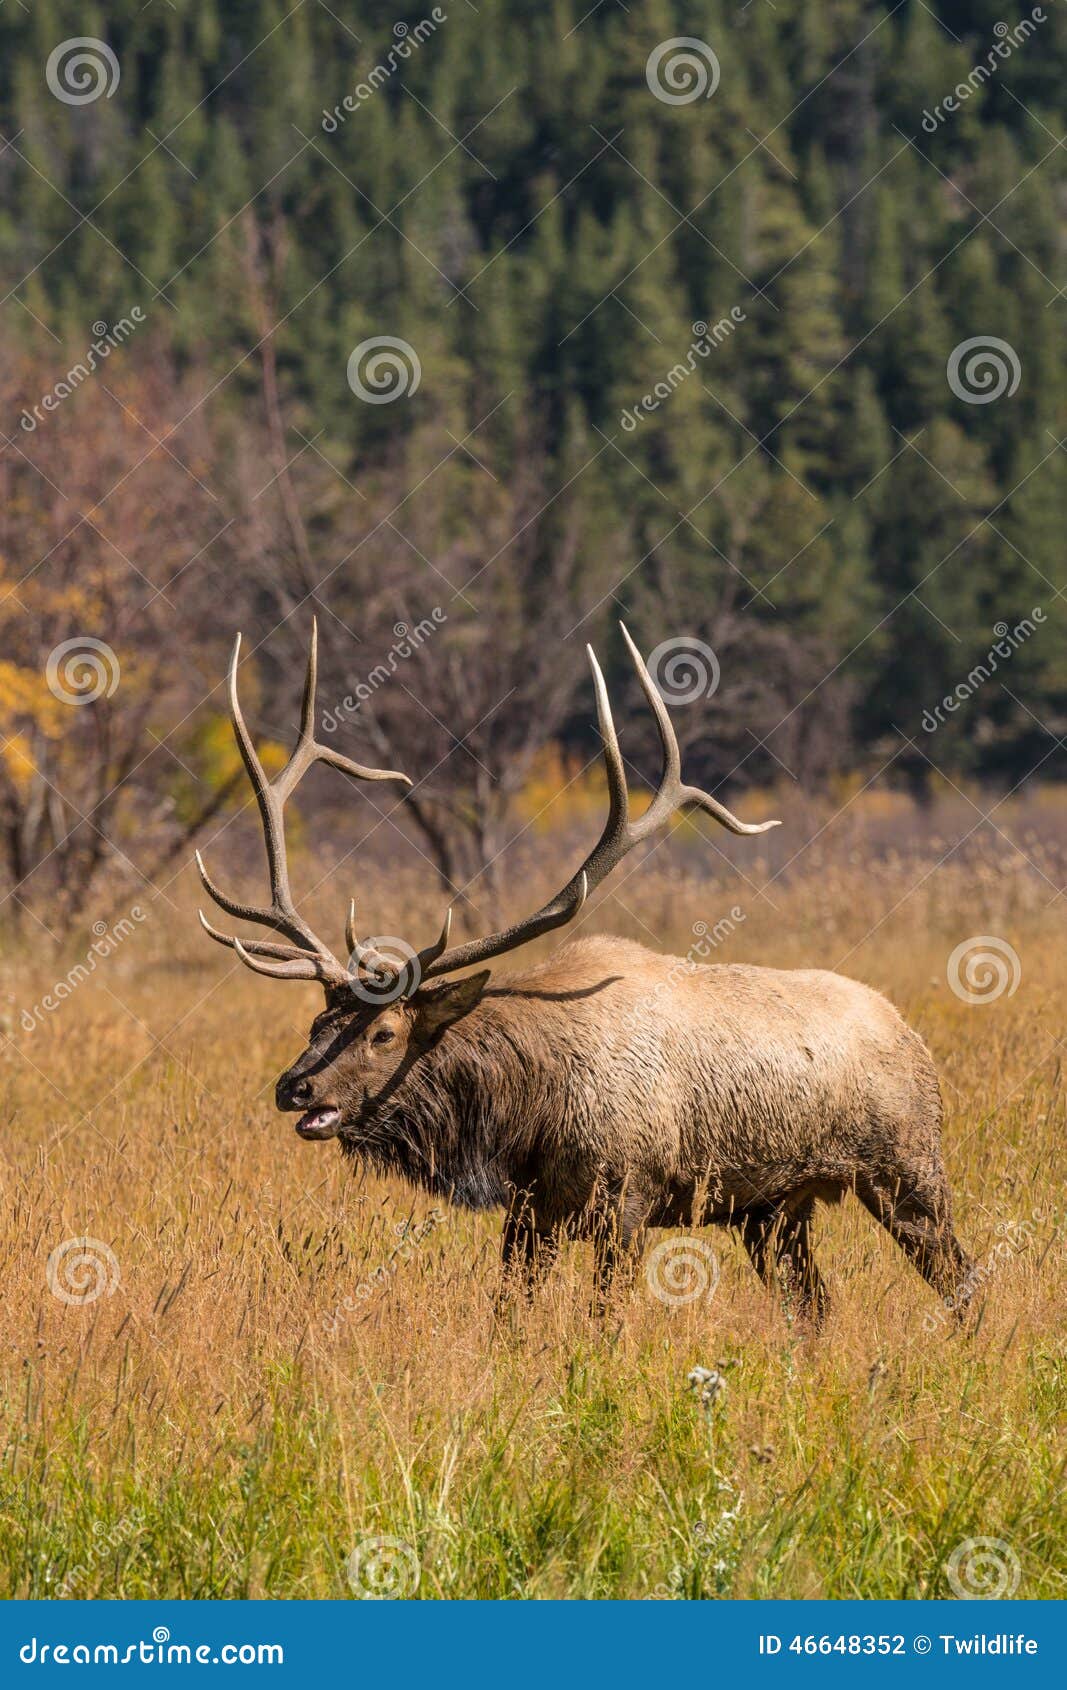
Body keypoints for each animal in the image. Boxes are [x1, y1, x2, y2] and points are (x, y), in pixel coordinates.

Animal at [196, 621, 975, 1326]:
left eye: (384, 1032)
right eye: (317, 1020)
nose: (294, 1087)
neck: (530, 1109)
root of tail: (912, 1035)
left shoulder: (627, 1198)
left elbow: (604, 1323)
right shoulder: (529, 1211)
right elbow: (507, 1316)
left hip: (908, 1168)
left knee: (963, 1282)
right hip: (773, 1209)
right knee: (813, 1308)